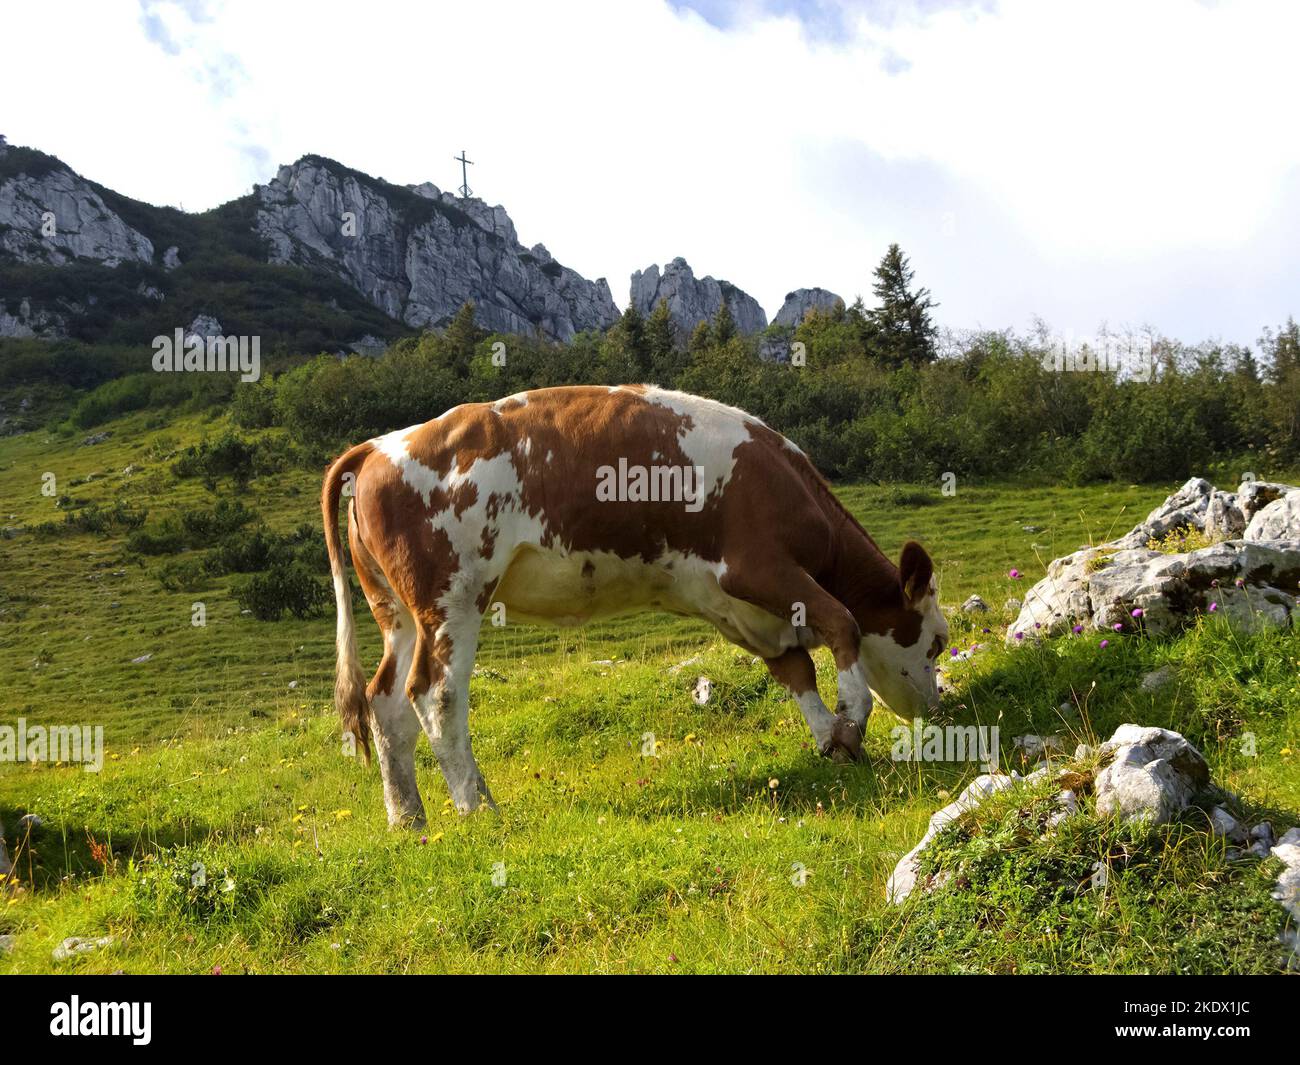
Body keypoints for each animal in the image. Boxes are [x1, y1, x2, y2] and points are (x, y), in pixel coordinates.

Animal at [322, 385, 948, 826]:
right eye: (938, 643)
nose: (938, 709)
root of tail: (380, 446)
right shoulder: (758, 567)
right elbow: (843, 623)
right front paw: (852, 721)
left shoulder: (738, 605)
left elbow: (795, 670)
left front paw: (829, 739)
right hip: (452, 598)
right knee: (436, 695)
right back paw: (480, 809)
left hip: (400, 616)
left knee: (384, 703)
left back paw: (409, 818)